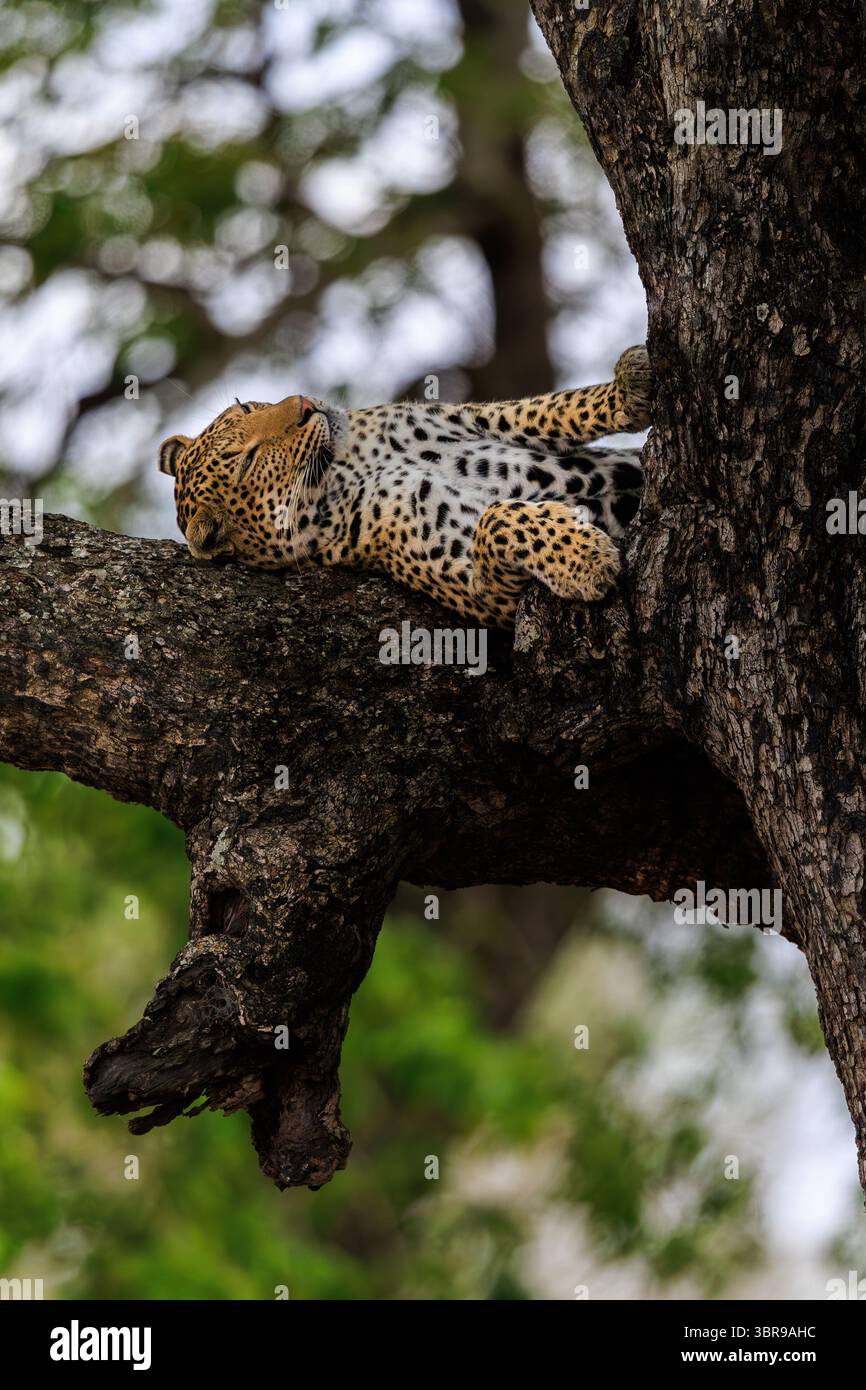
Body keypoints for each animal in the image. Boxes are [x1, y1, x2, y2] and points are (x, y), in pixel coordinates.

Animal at [157, 345, 652, 628]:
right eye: (249, 460)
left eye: (245, 406)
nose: (305, 405)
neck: (345, 467)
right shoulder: (480, 593)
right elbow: (495, 520)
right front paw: (583, 557)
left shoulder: (470, 418)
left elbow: (548, 408)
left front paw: (632, 383)